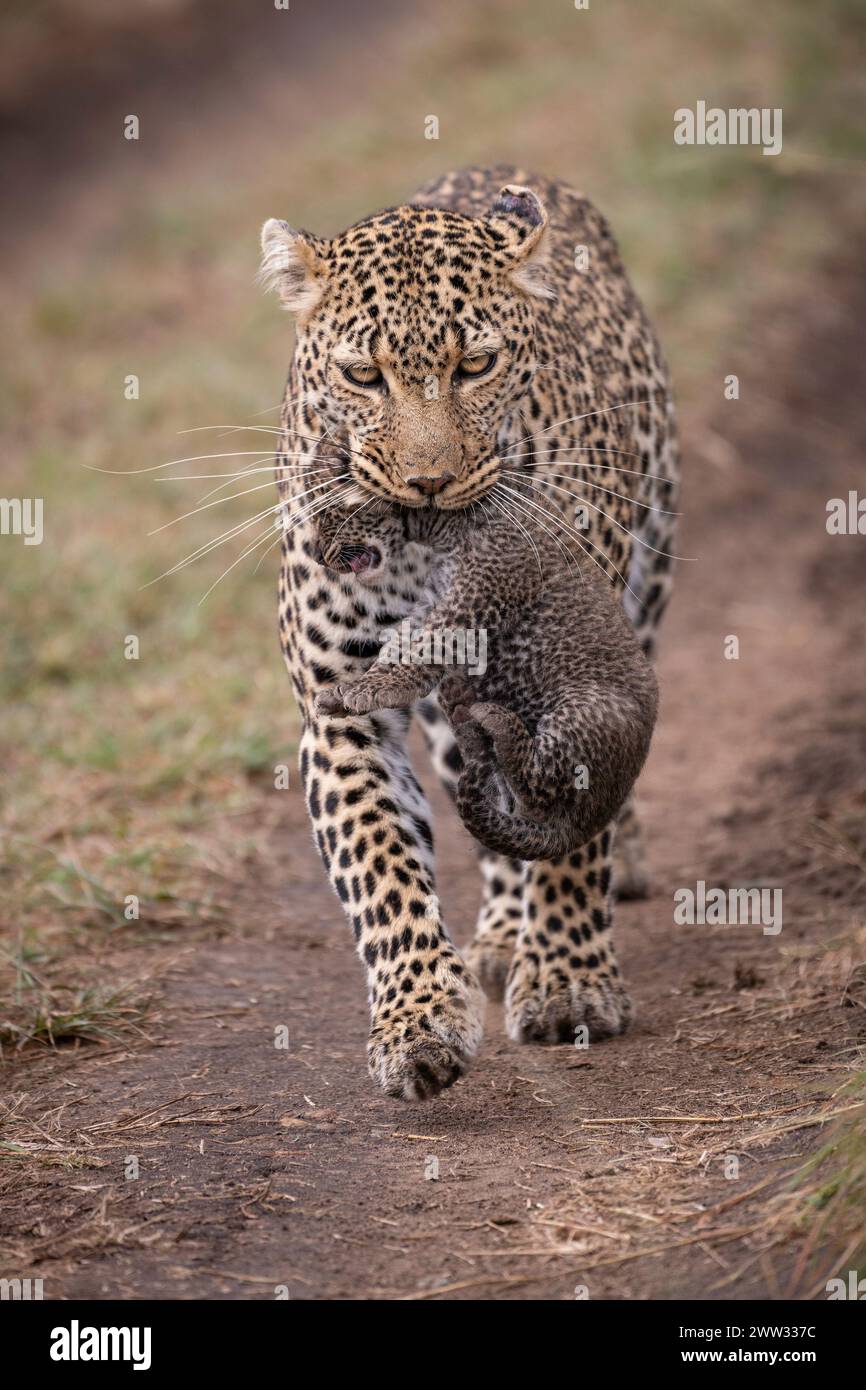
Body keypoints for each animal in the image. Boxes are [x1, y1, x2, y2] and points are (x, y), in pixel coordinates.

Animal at [309, 491, 659, 864]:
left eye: (331, 514)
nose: (317, 555)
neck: (441, 532)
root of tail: (588, 824)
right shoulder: (432, 602)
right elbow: (398, 645)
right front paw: (346, 692)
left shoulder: (473, 599)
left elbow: (424, 649)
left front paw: (369, 691)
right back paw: (471, 722)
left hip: (586, 711)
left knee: (539, 782)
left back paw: (494, 720)